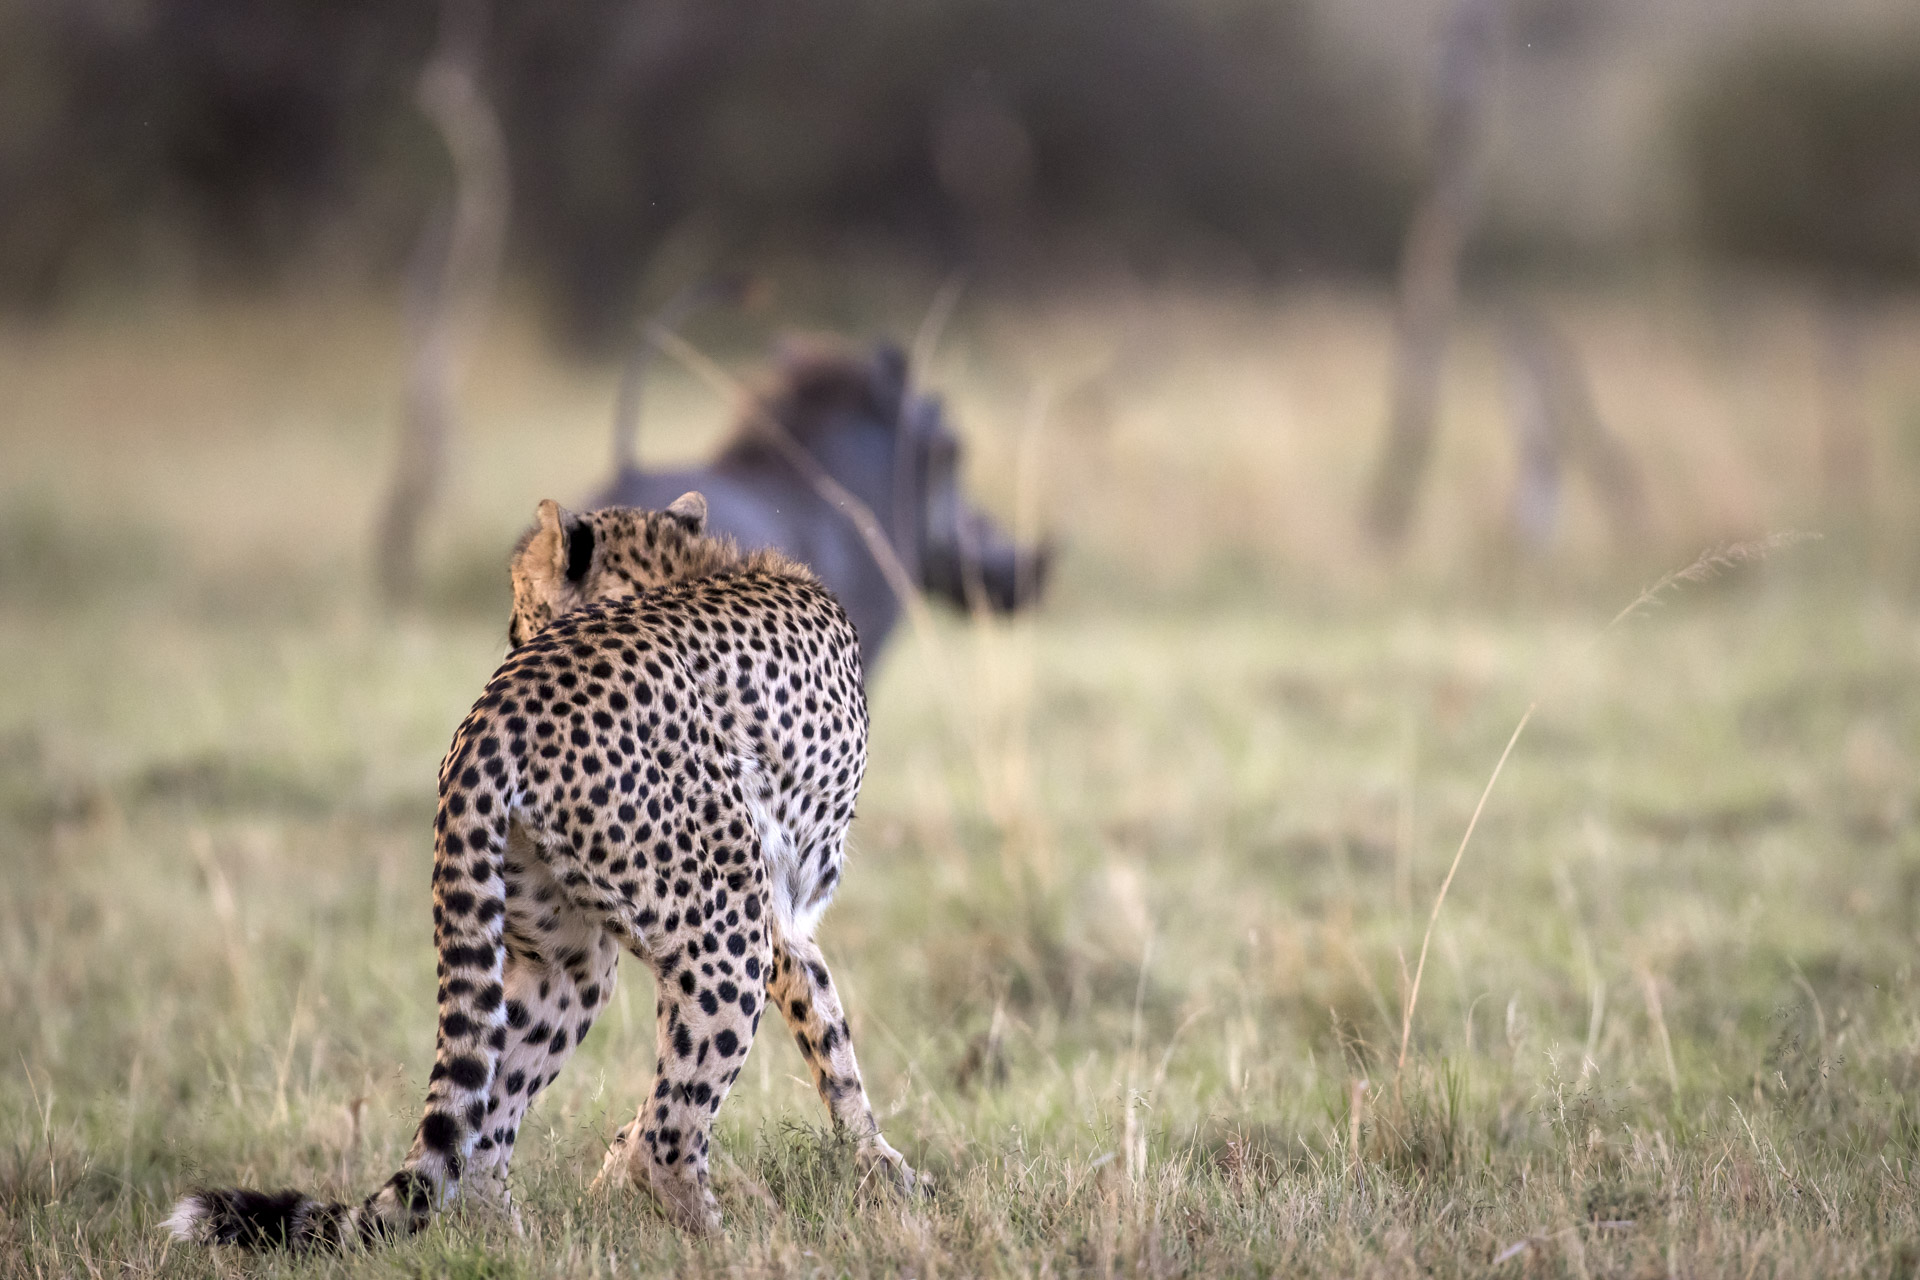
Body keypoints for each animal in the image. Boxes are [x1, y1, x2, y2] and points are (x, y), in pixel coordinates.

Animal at [167, 491, 921, 1250]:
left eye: (522, 596)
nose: (510, 633)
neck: (680, 568)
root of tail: (492, 712)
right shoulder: (779, 915)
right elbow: (818, 1041)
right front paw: (884, 1170)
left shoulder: (782, 921)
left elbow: (830, 1039)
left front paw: (884, 1167)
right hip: (719, 934)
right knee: (667, 1138)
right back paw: (731, 1245)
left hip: (567, 963)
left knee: (480, 1135)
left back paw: (515, 1244)